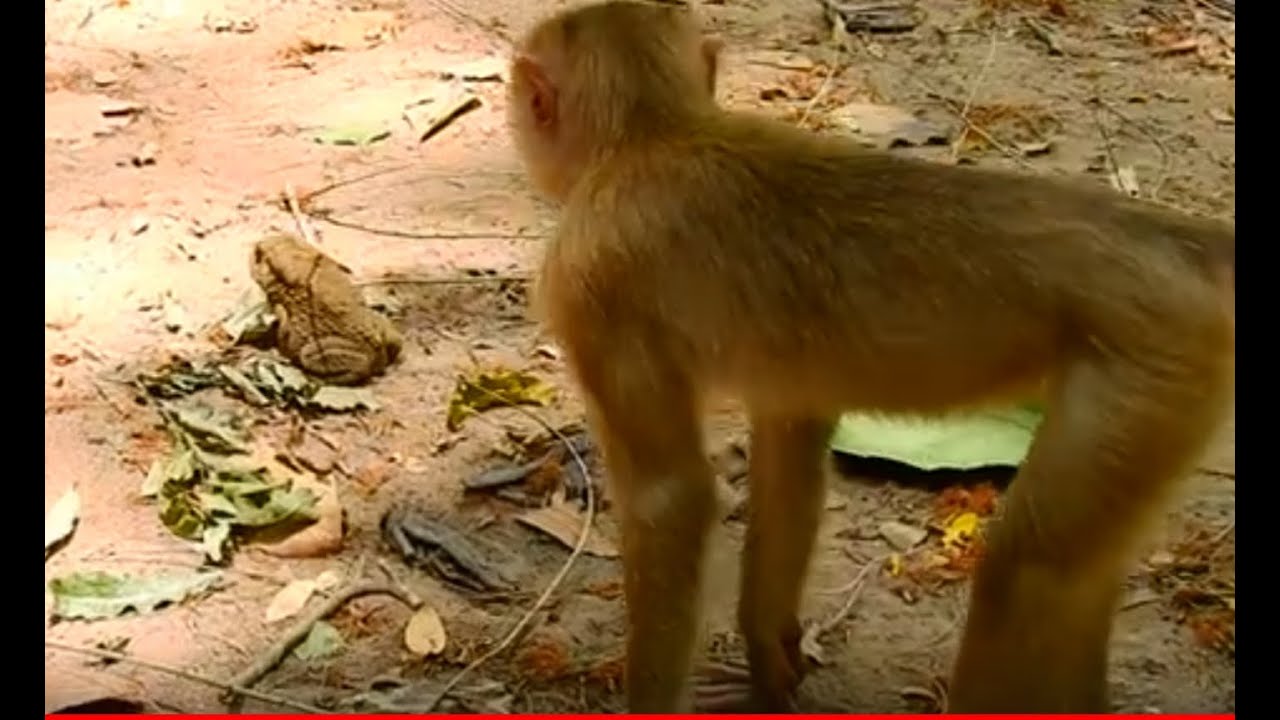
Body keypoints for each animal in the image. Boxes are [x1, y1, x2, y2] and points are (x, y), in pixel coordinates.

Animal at [505, 1, 1235, 713]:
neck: (656, 133)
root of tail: (1178, 239)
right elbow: (792, 440)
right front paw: (768, 672)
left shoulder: (584, 279)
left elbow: (669, 501)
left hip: (1155, 363)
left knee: (1028, 574)